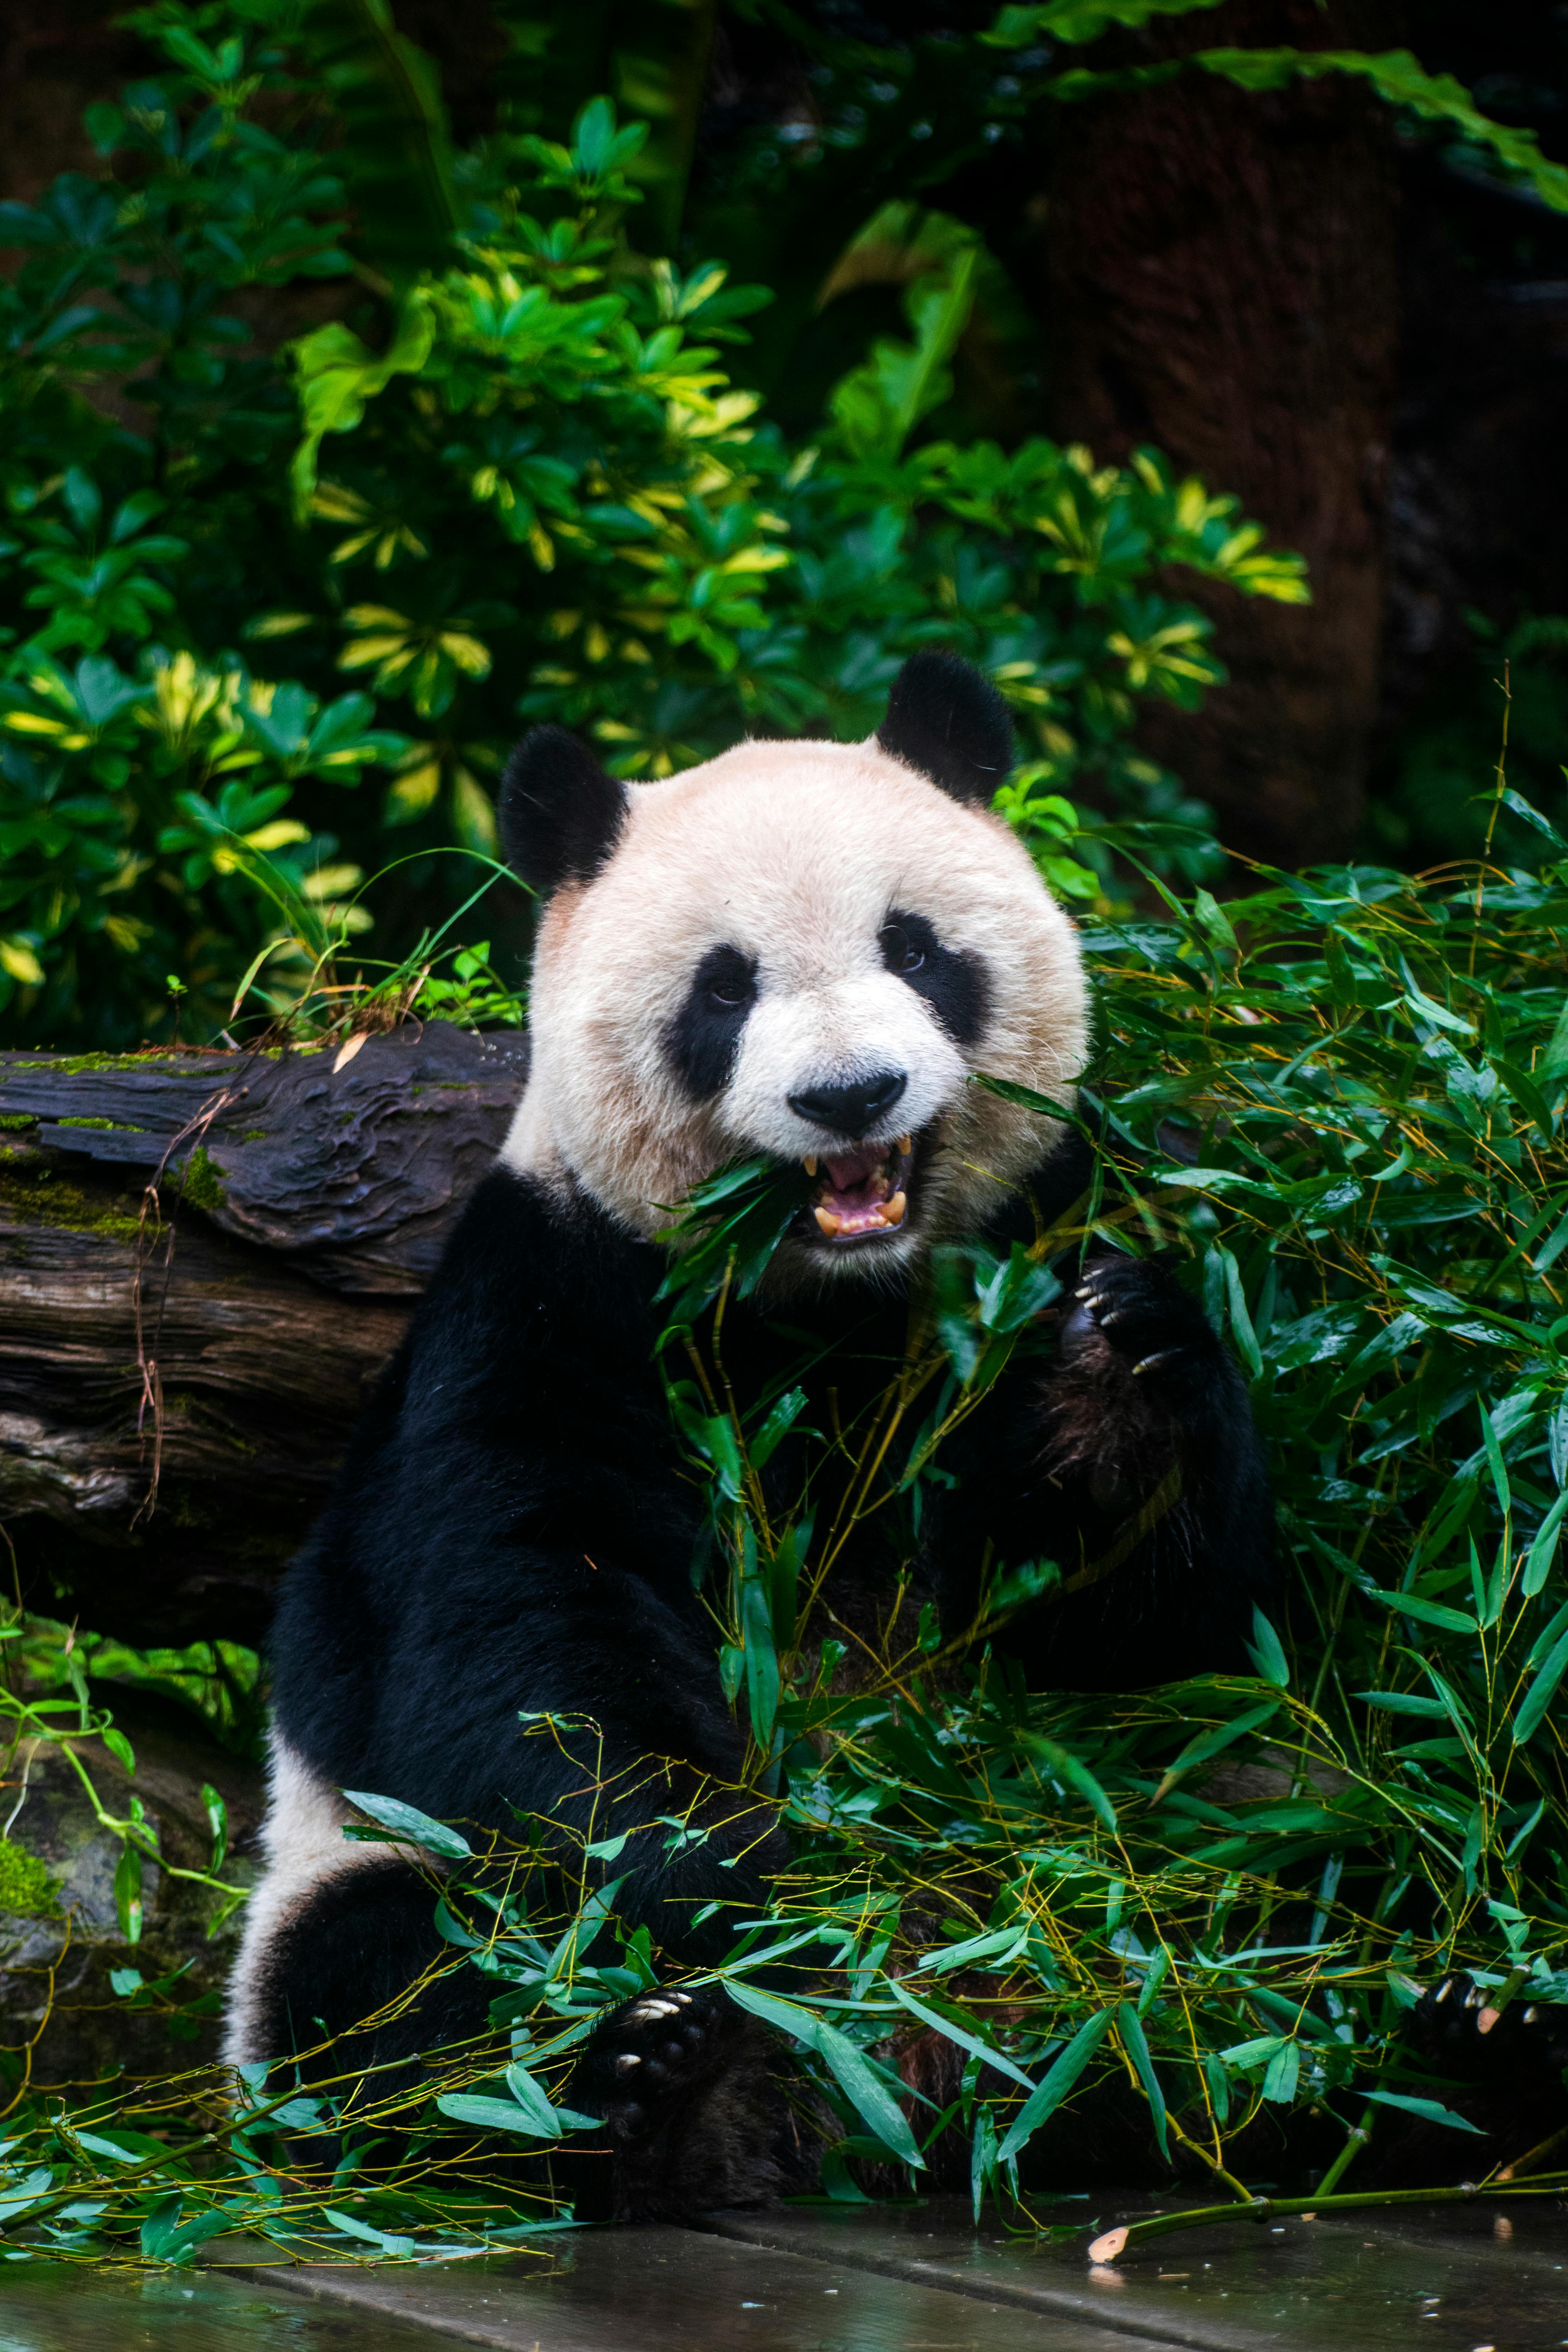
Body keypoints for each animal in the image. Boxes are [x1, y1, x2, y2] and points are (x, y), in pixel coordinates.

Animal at [226, 652, 1308, 2216]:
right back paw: (662, 2082)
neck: (828, 1303)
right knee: (393, 1978)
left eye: (915, 949)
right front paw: (774, 1878)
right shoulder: (556, 1305)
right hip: (345, 1878)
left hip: (1166, 1853)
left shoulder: (1010, 1255)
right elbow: (528, 1644)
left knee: (1262, 1871)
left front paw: (1118, 1355)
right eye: (723, 988)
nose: (849, 1095)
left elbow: (1144, 1621)